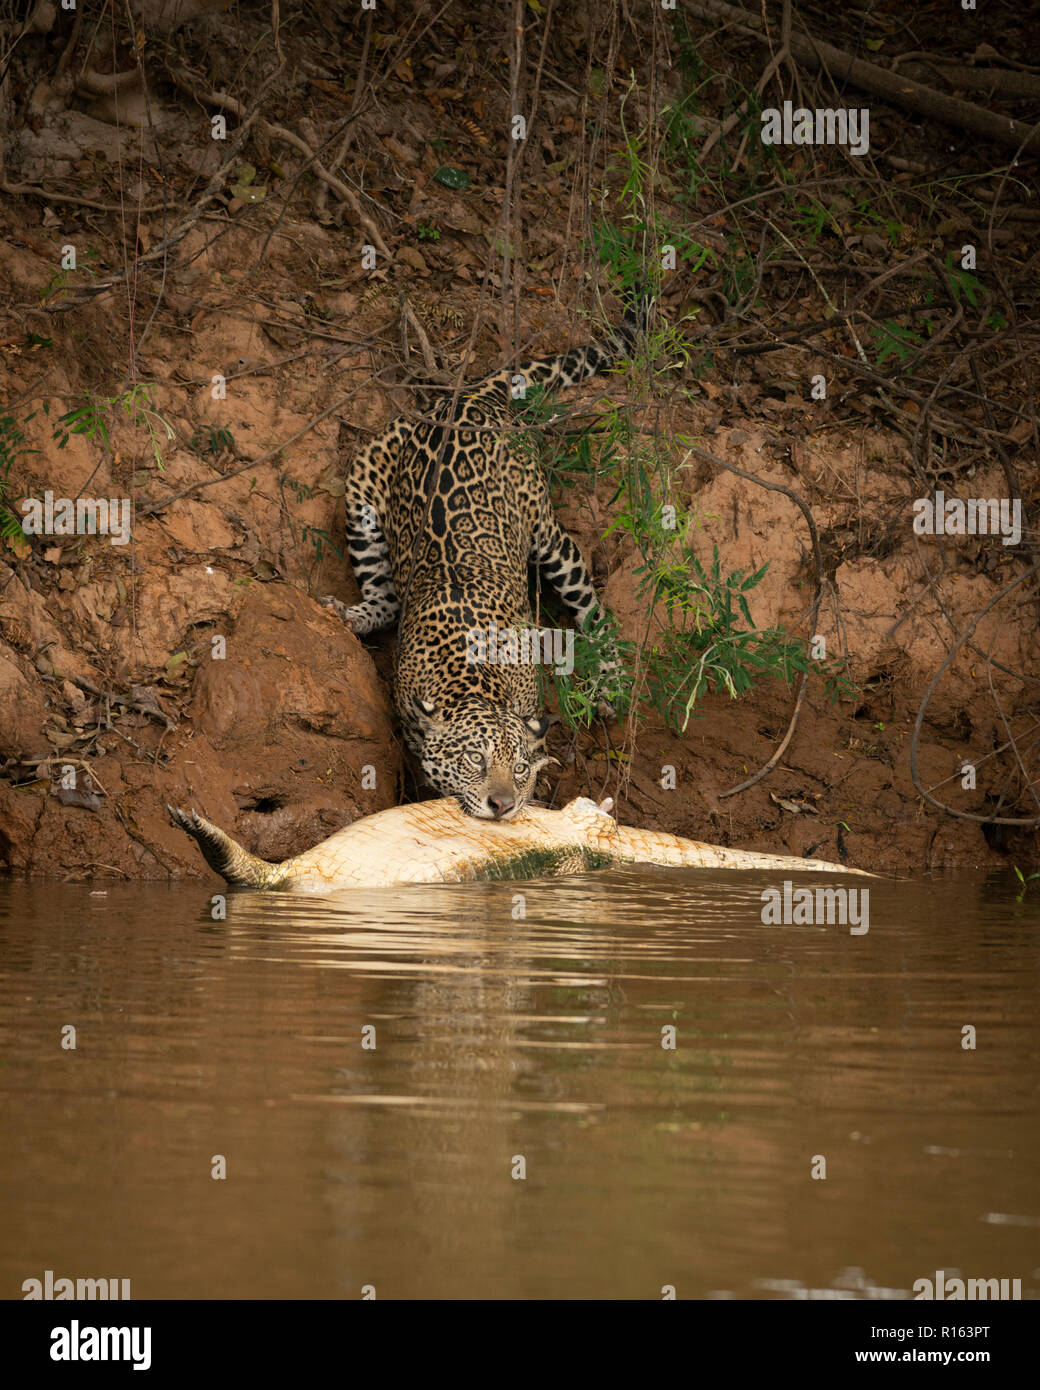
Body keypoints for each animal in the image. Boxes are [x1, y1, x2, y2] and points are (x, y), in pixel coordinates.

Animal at [321, 295, 648, 821]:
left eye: (518, 767)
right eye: (474, 758)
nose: (503, 804)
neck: (472, 683)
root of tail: (472, 394)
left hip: (545, 532)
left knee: (591, 605)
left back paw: (611, 681)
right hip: (364, 476)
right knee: (385, 598)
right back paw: (349, 616)